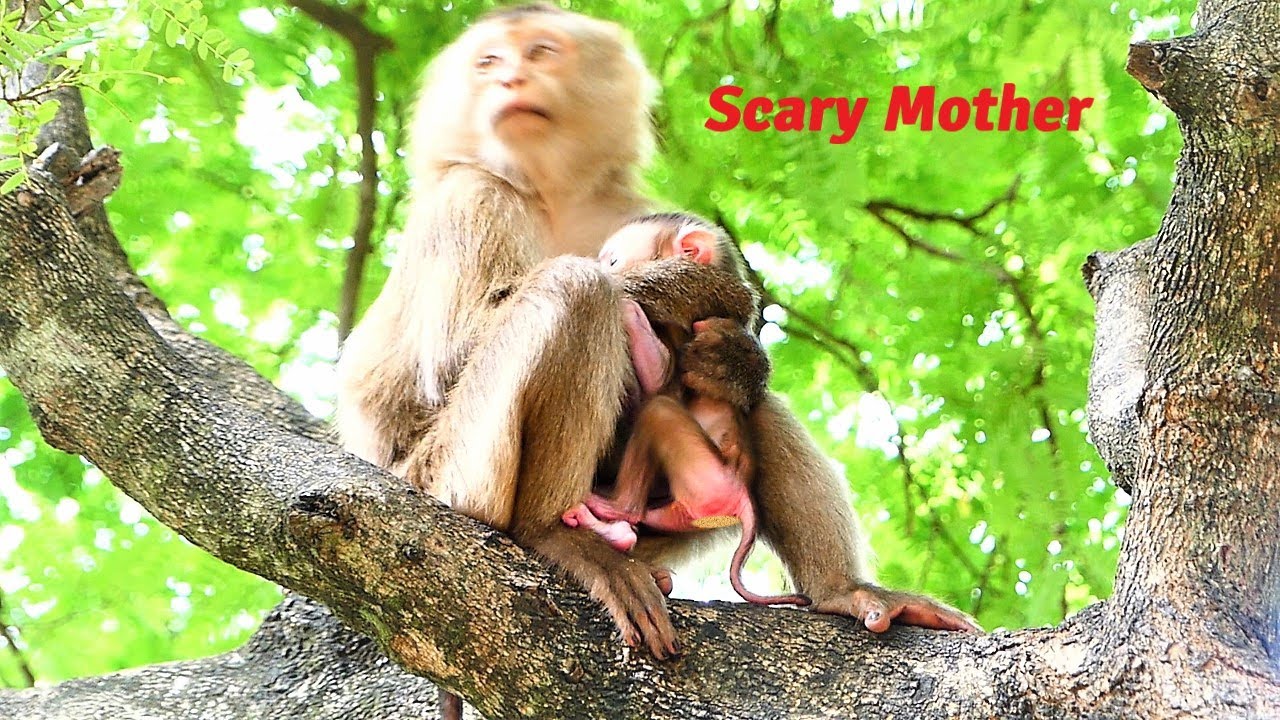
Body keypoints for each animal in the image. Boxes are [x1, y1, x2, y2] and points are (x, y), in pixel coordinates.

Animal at [561, 213, 809, 607]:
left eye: (612, 260)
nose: (603, 266)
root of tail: (739, 499)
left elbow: (659, 378)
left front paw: (627, 301)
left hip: (707, 476)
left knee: (658, 411)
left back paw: (616, 511)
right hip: (687, 508)